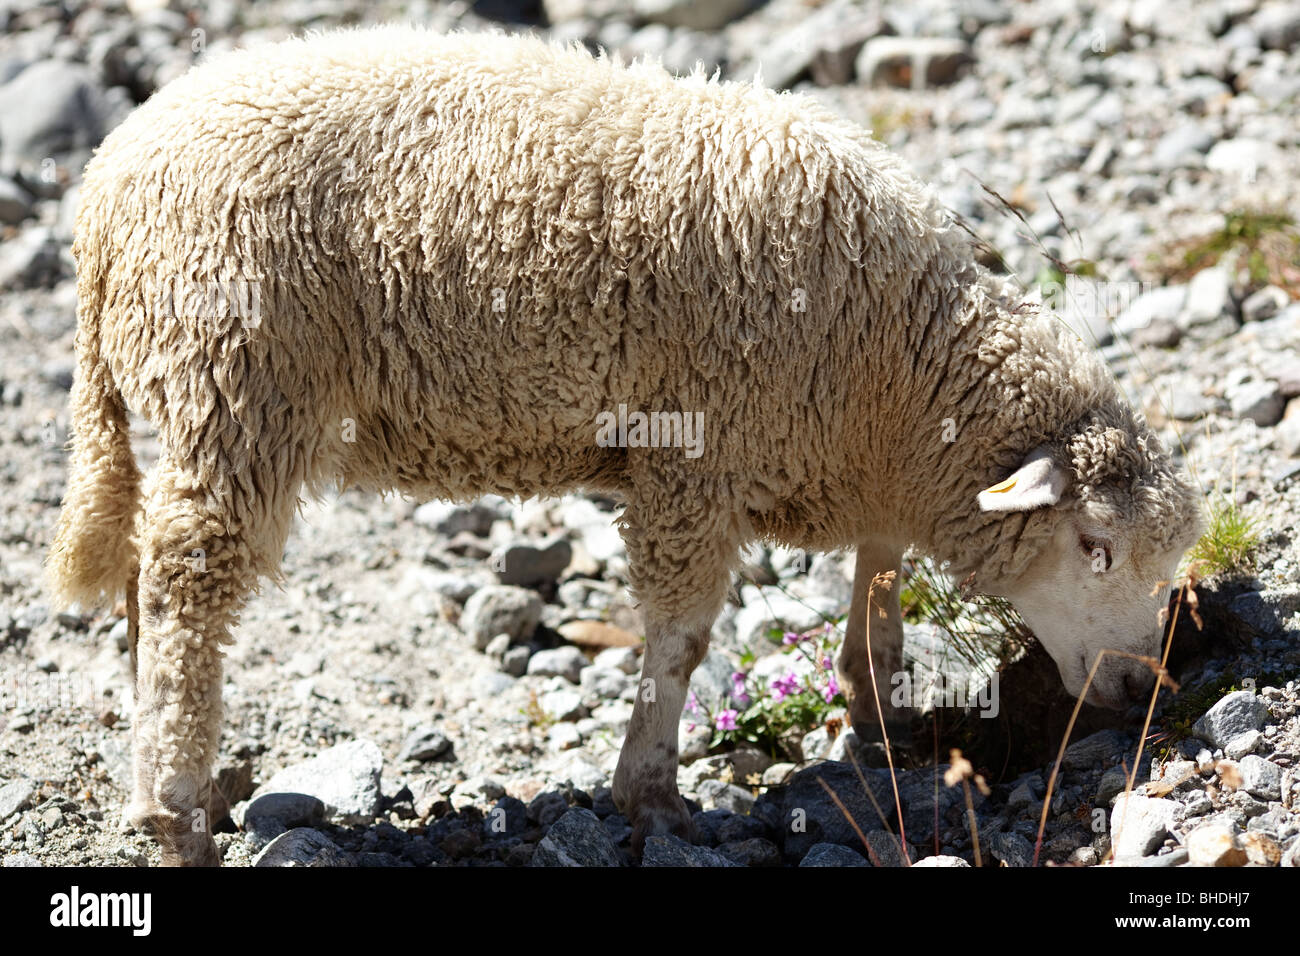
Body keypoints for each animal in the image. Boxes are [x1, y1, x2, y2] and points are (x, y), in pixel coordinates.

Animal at [46, 25, 1203, 865]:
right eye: (1094, 546)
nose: (1144, 692)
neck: (895, 370)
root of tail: (105, 196)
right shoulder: (693, 461)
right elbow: (681, 641)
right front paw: (649, 793)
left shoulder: (858, 462)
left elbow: (877, 597)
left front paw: (878, 719)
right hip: (237, 378)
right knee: (189, 588)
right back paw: (177, 811)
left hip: (194, 395)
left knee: (149, 572)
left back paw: (175, 780)